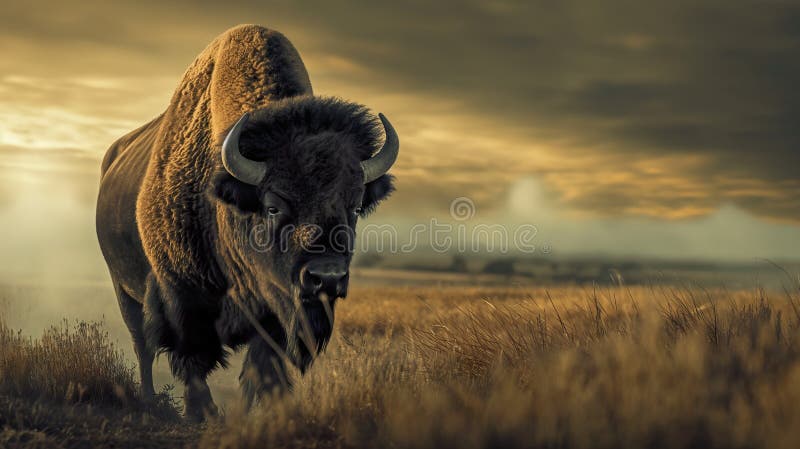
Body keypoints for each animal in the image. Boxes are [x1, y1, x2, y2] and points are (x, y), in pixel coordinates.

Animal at [95, 25, 398, 421]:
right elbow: (191, 357)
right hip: (123, 289)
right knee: (142, 348)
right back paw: (149, 400)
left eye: (355, 206)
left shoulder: (275, 308)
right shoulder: (179, 295)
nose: (327, 277)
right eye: (271, 207)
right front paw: (202, 413)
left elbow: (262, 363)